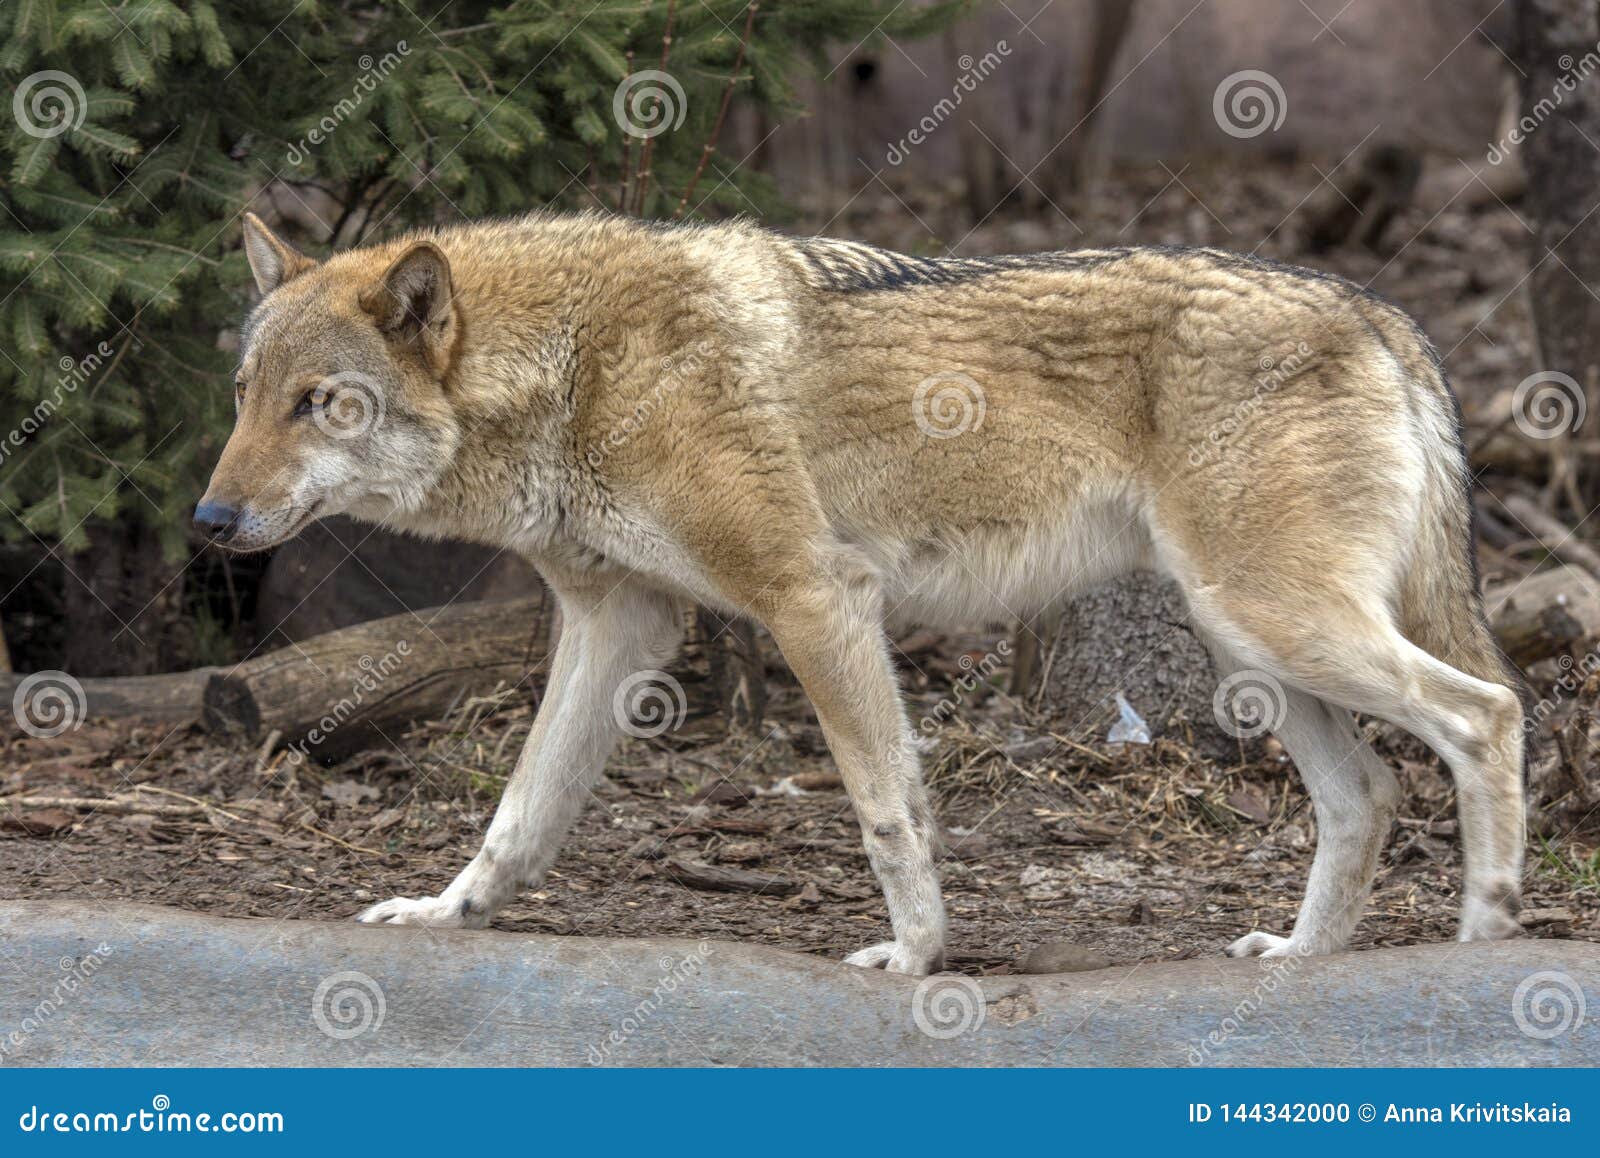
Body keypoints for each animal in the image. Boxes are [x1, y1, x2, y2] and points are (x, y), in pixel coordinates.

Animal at [198, 210, 1526, 975]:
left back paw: (1479, 945)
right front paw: (448, 913)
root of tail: (1381, 312)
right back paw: (1303, 961)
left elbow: (888, 814)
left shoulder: (814, 599)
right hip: (1247, 644)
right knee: (1368, 794)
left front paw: (915, 956)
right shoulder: (619, 622)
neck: (577, 366)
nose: (209, 522)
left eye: (323, 404)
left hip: (1273, 623)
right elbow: (521, 813)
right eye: (247, 396)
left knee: (1488, 716)